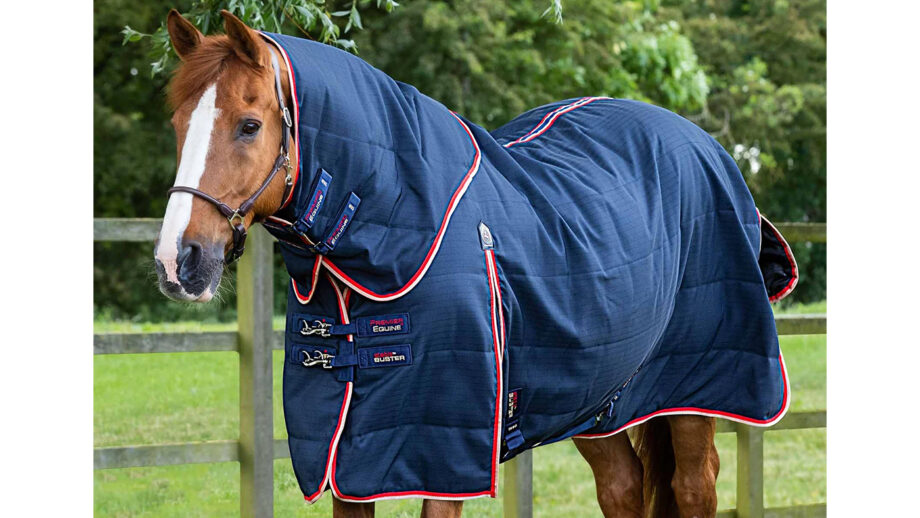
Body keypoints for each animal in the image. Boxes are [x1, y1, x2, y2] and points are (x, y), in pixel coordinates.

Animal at [154, 10, 795, 518]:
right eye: (178, 125)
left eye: (249, 125)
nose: (178, 260)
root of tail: (707, 146)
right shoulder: (351, 461)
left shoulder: (439, 457)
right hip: (593, 400)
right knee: (622, 487)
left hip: (697, 388)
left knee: (693, 488)